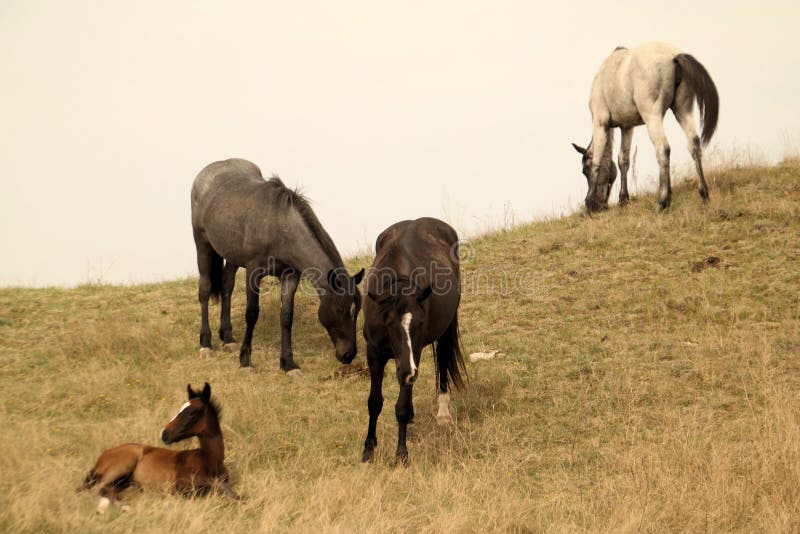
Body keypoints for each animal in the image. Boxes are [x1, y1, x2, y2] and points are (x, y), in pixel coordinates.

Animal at [80, 383, 238, 514]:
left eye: (191, 412)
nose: (164, 433)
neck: (210, 462)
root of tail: (102, 457)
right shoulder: (182, 491)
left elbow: (236, 497)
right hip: (122, 465)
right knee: (94, 491)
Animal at [191, 159, 364, 372]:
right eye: (340, 309)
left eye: (357, 310)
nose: (348, 354)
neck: (278, 227)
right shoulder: (253, 272)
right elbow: (252, 314)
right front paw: (245, 361)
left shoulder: (290, 275)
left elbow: (287, 316)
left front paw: (288, 364)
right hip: (202, 244)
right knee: (205, 289)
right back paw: (206, 344)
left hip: (232, 256)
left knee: (226, 286)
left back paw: (228, 338)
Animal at [360, 217, 467, 466]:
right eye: (389, 323)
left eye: (419, 322)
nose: (407, 372)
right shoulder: (374, 353)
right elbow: (374, 402)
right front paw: (368, 449)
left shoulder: (413, 355)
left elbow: (400, 406)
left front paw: (401, 454)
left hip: (445, 332)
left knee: (443, 362)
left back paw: (442, 413)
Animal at [572, 42, 719, 212]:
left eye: (585, 171)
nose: (600, 205)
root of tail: (674, 57)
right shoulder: (627, 127)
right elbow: (623, 160)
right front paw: (623, 199)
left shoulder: (600, 122)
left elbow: (597, 159)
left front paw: (589, 205)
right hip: (683, 110)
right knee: (693, 144)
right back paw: (704, 194)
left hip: (652, 116)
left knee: (663, 149)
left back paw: (662, 201)